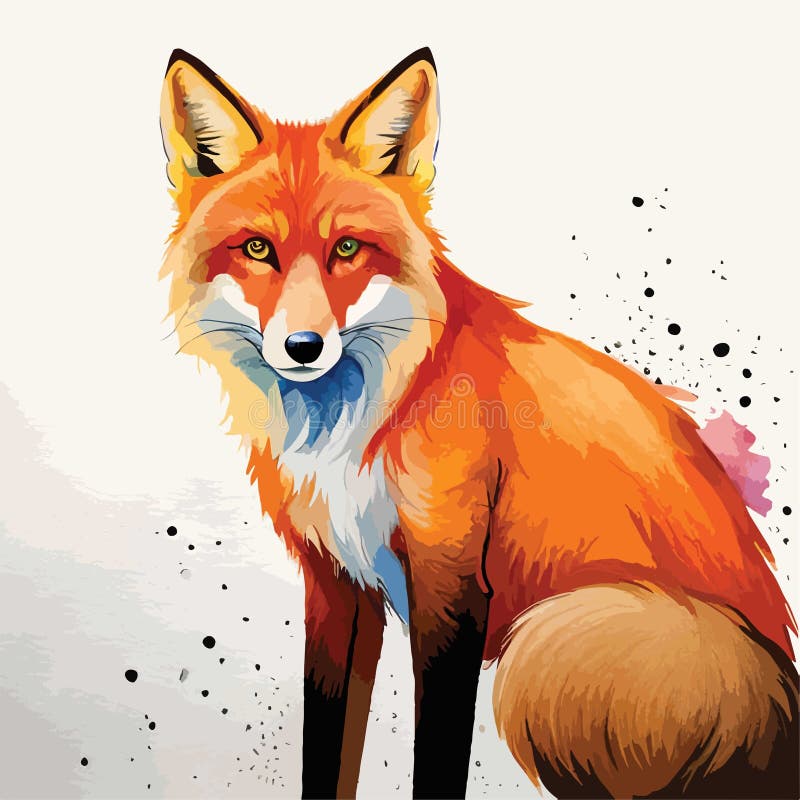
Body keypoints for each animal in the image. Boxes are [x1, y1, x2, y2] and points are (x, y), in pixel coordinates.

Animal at [159, 48, 799, 799]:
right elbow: (327, 754)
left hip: (547, 641)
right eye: (258, 249)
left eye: (347, 249)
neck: (353, 428)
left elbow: (437, 758)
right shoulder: (336, 583)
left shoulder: (452, 582)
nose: (304, 347)